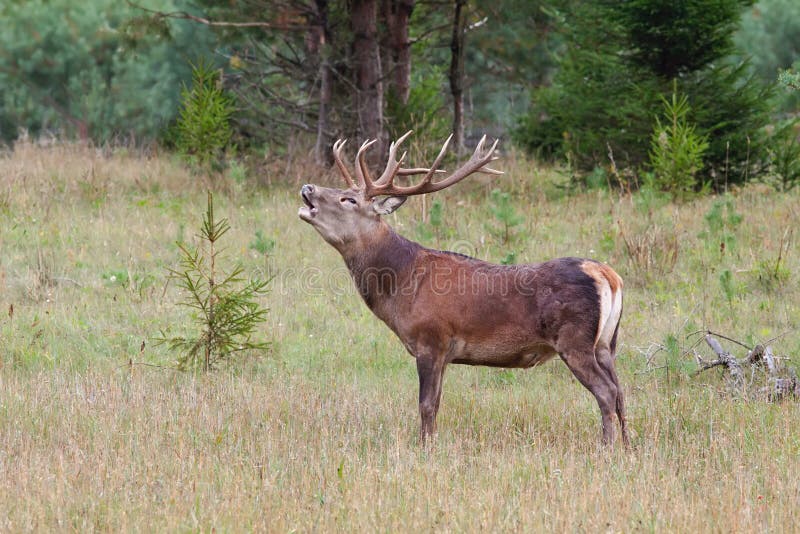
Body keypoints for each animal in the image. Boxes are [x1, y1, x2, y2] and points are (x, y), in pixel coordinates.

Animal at [298, 131, 628, 447]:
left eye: (349, 200)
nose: (308, 188)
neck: (400, 284)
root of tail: (607, 274)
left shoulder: (431, 339)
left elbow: (426, 405)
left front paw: (424, 448)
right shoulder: (445, 352)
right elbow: (437, 403)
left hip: (574, 339)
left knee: (606, 391)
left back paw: (607, 446)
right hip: (606, 343)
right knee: (621, 392)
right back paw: (627, 446)